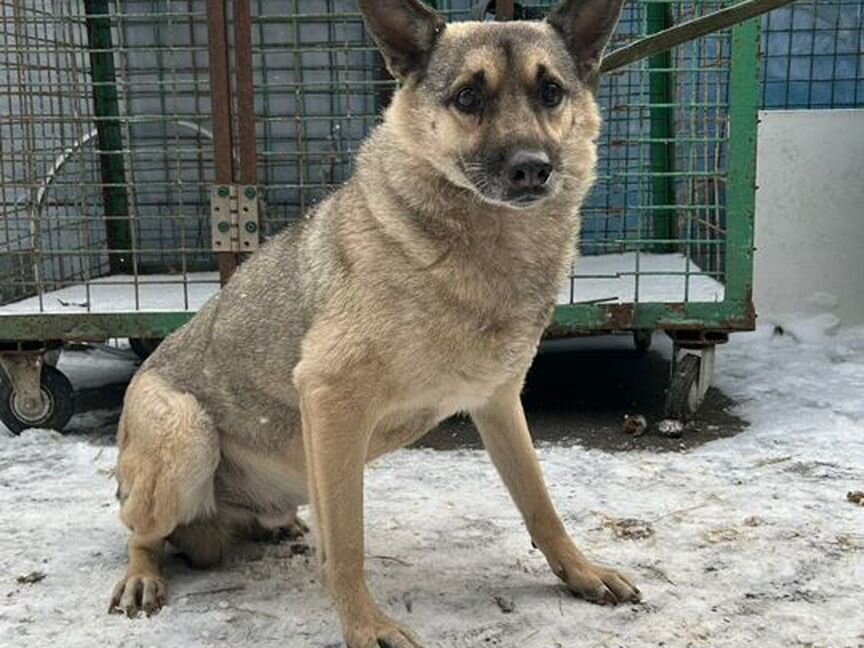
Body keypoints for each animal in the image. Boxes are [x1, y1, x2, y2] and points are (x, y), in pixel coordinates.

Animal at [111, 1, 640, 644]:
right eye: (468, 97)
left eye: (551, 92)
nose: (531, 170)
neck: (485, 240)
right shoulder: (331, 398)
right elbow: (347, 542)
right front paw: (365, 624)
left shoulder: (498, 403)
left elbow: (540, 503)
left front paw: (581, 572)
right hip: (185, 434)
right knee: (140, 531)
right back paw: (143, 575)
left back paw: (270, 526)